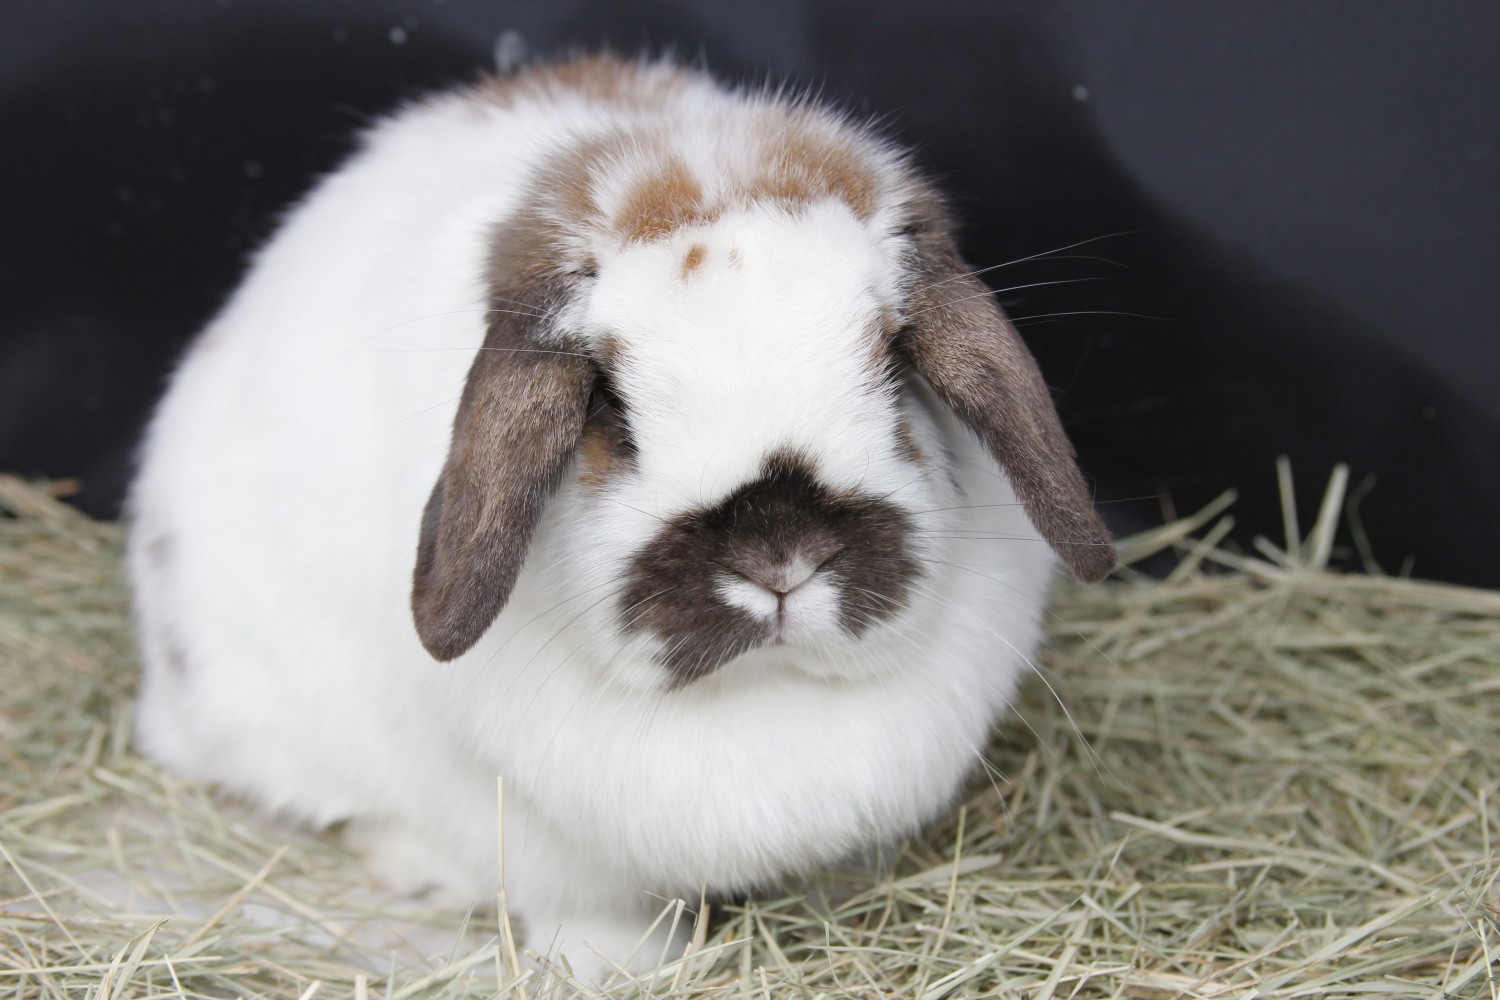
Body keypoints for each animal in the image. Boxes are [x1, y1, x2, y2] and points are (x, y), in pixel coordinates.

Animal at [126, 53, 1114, 977]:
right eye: (612, 409)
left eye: (892, 365)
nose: (779, 558)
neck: (757, 695)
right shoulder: (547, 844)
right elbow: (587, 910)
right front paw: (614, 970)